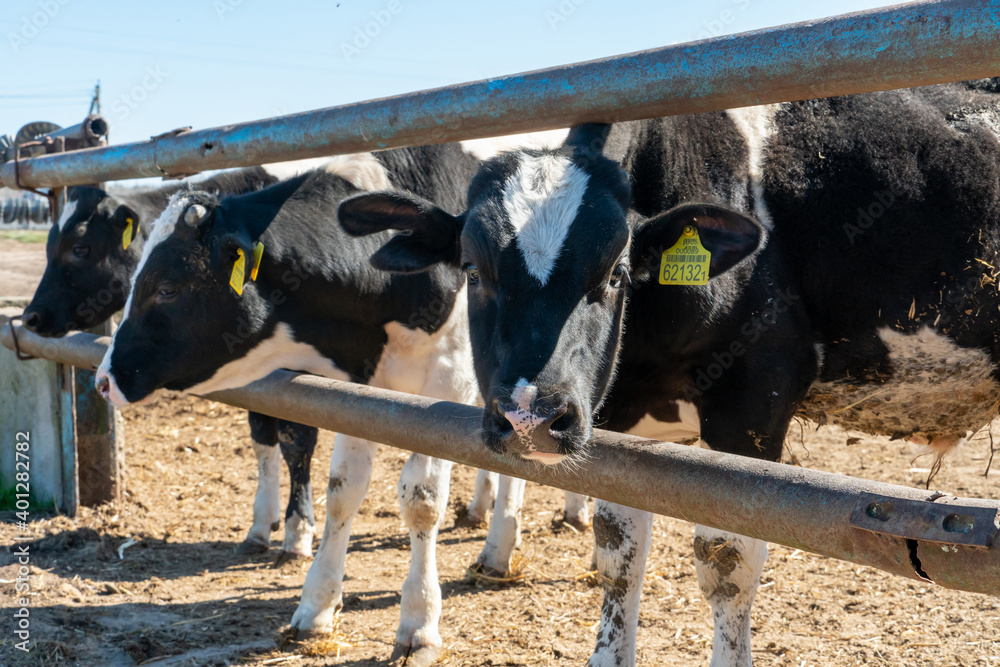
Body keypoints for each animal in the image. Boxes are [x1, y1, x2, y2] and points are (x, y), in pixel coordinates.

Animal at [338, 79, 1000, 665]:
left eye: (615, 273)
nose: (532, 416)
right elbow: (619, 552)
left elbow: (727, 559)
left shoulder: (756, 396)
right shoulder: (617, 421)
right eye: (473, 271)